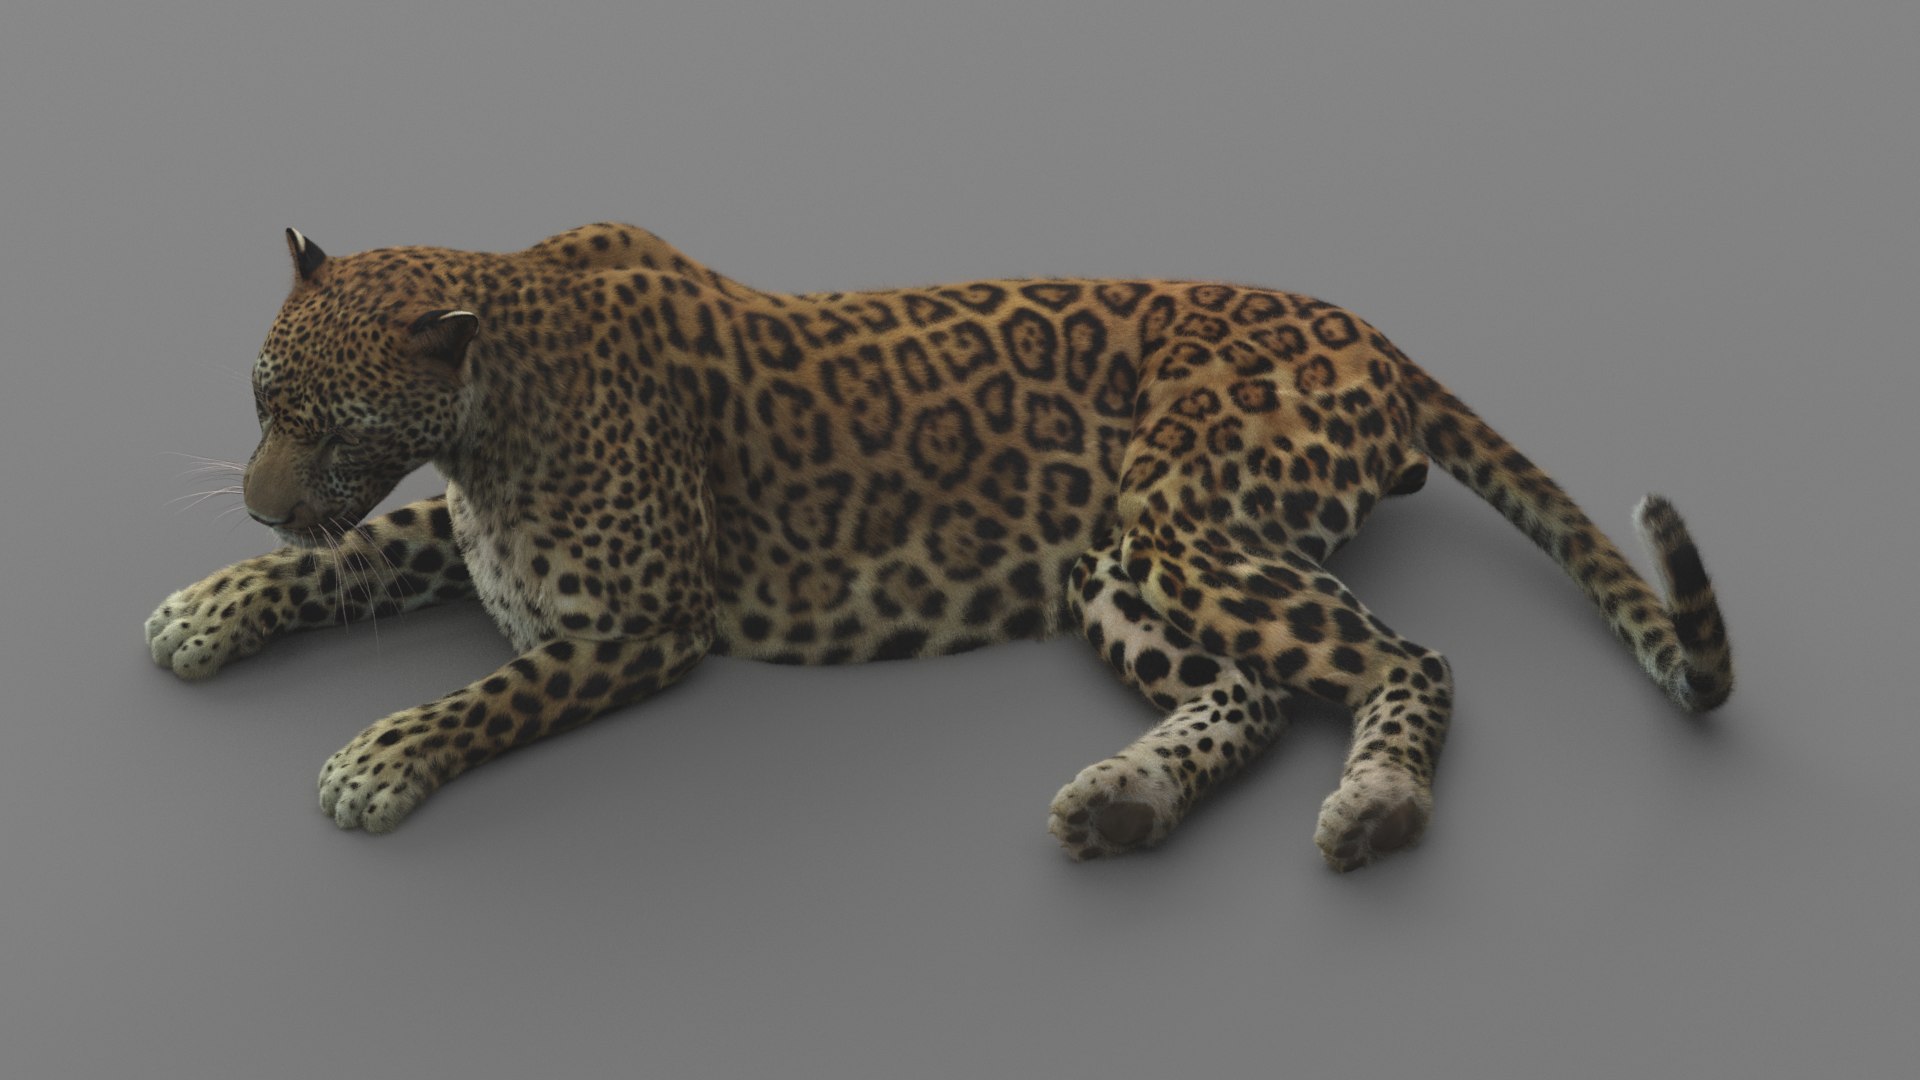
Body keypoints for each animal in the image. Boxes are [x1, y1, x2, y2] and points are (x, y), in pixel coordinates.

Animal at [145, 222, 1734, 870]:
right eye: (259, 402)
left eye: (329, 424)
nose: (256, 499)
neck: (486, 416)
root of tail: (1367, 325)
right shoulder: (469, 543)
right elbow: (355, 559)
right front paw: (208, 605)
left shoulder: (643, 619)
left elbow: (489, 692)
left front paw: (377, 759)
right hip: (1116, 556)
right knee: (1258, 690)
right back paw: (1124, 804)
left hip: (1187, 510)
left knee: (1407, 660)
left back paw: (1379, 809)